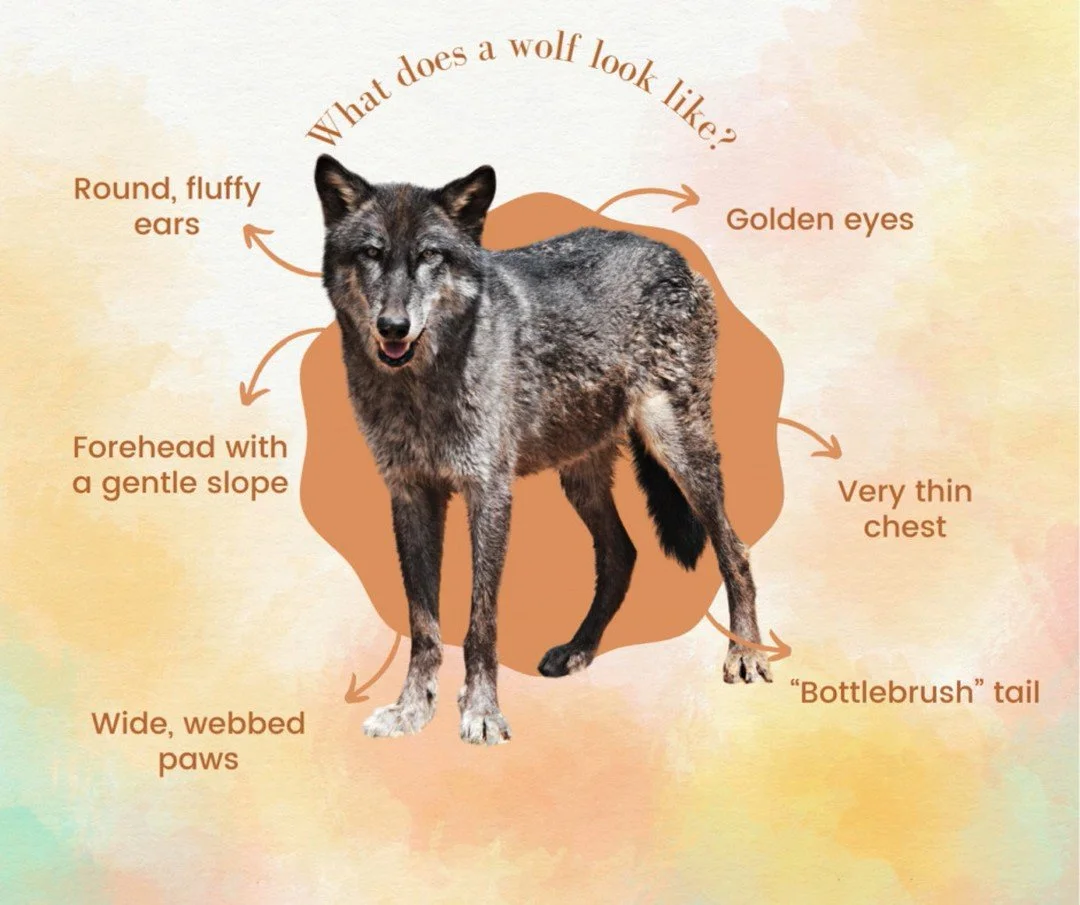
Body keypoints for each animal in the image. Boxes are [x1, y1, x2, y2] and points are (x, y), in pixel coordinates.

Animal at [315, 155, 772, 745]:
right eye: (371, 254)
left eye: (430, 256)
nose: (394, 327)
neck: (421, 388)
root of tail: (675, 254)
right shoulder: (411, 495)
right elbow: (424, 623)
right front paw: (412, 709)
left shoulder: (489, 492)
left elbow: (480, 621)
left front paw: (482, 712)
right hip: (580, 478)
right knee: (622, 553)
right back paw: (579, 649)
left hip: (678, 449)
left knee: (734, 549)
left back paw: (745, 653)